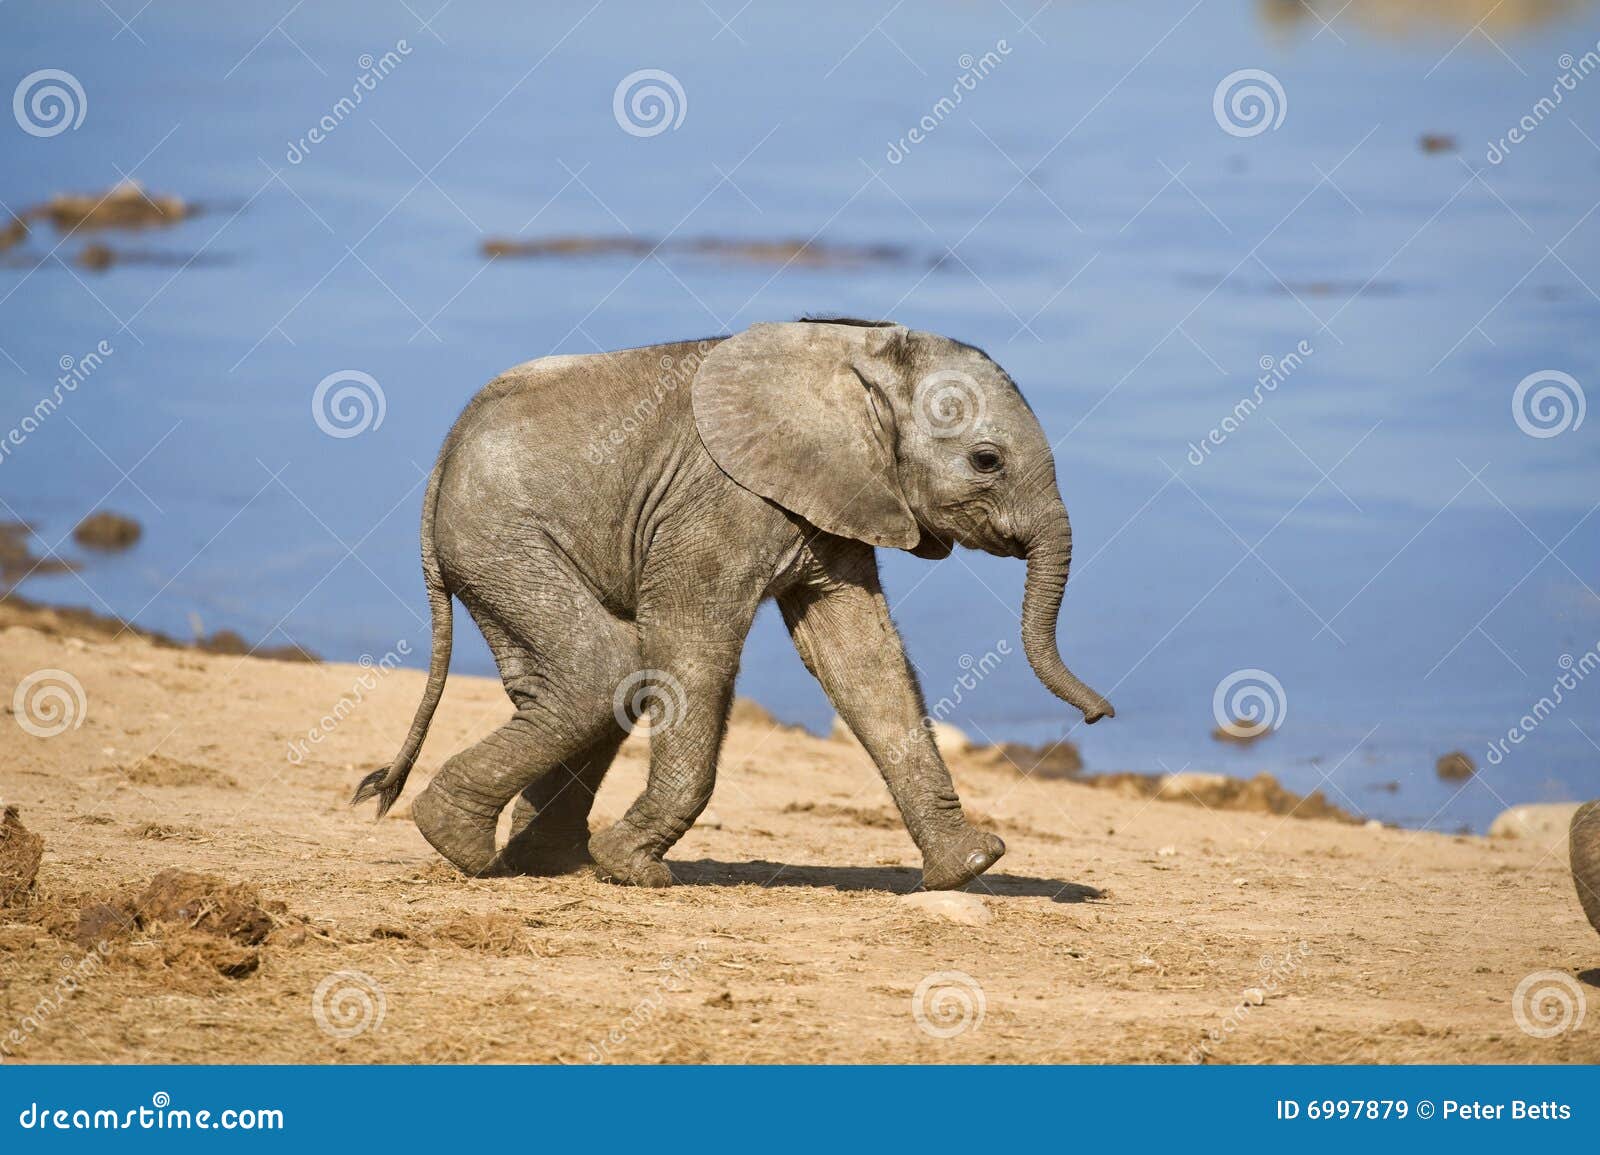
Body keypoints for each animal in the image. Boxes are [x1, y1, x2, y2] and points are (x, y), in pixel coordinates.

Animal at [352, 318, 1115, 890]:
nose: (1101, 714)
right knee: (603, 670)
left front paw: (970, 865)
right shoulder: (721, 500)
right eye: (987, 461)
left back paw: (539, 861)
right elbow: (693, 643)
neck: (854, 357)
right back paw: (463, 844)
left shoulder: (836, 498)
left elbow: (861, 659)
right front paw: (633, 870)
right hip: (501, 537)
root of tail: (443, 459)